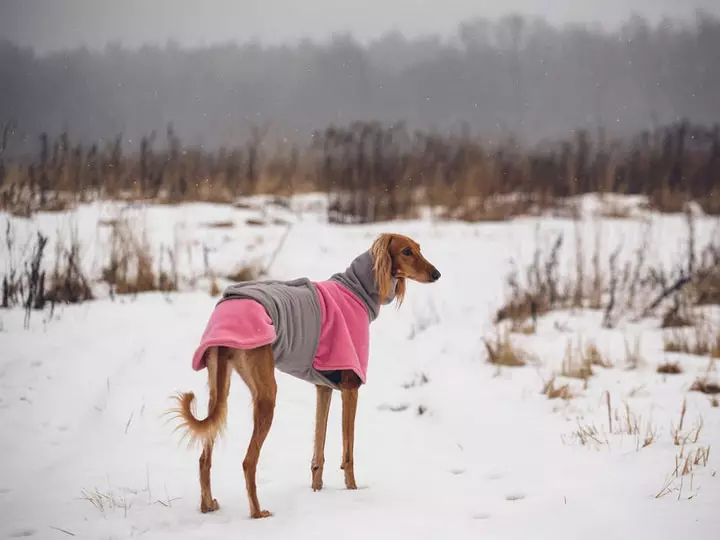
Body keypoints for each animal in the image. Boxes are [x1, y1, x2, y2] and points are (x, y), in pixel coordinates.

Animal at [170, 232, 438, 520]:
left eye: (419, 248)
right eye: (406, 252)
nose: (437, 274)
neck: (356, 290)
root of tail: (225, 309)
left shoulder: (324, 388)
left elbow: (318, 451)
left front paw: (317, 491)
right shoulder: (351, 387)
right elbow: (348, 452)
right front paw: (353, 491)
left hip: (218, 389)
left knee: (204, 456)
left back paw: (207, 506)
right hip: (266, 395)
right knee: (248, 461)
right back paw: (257, 512)